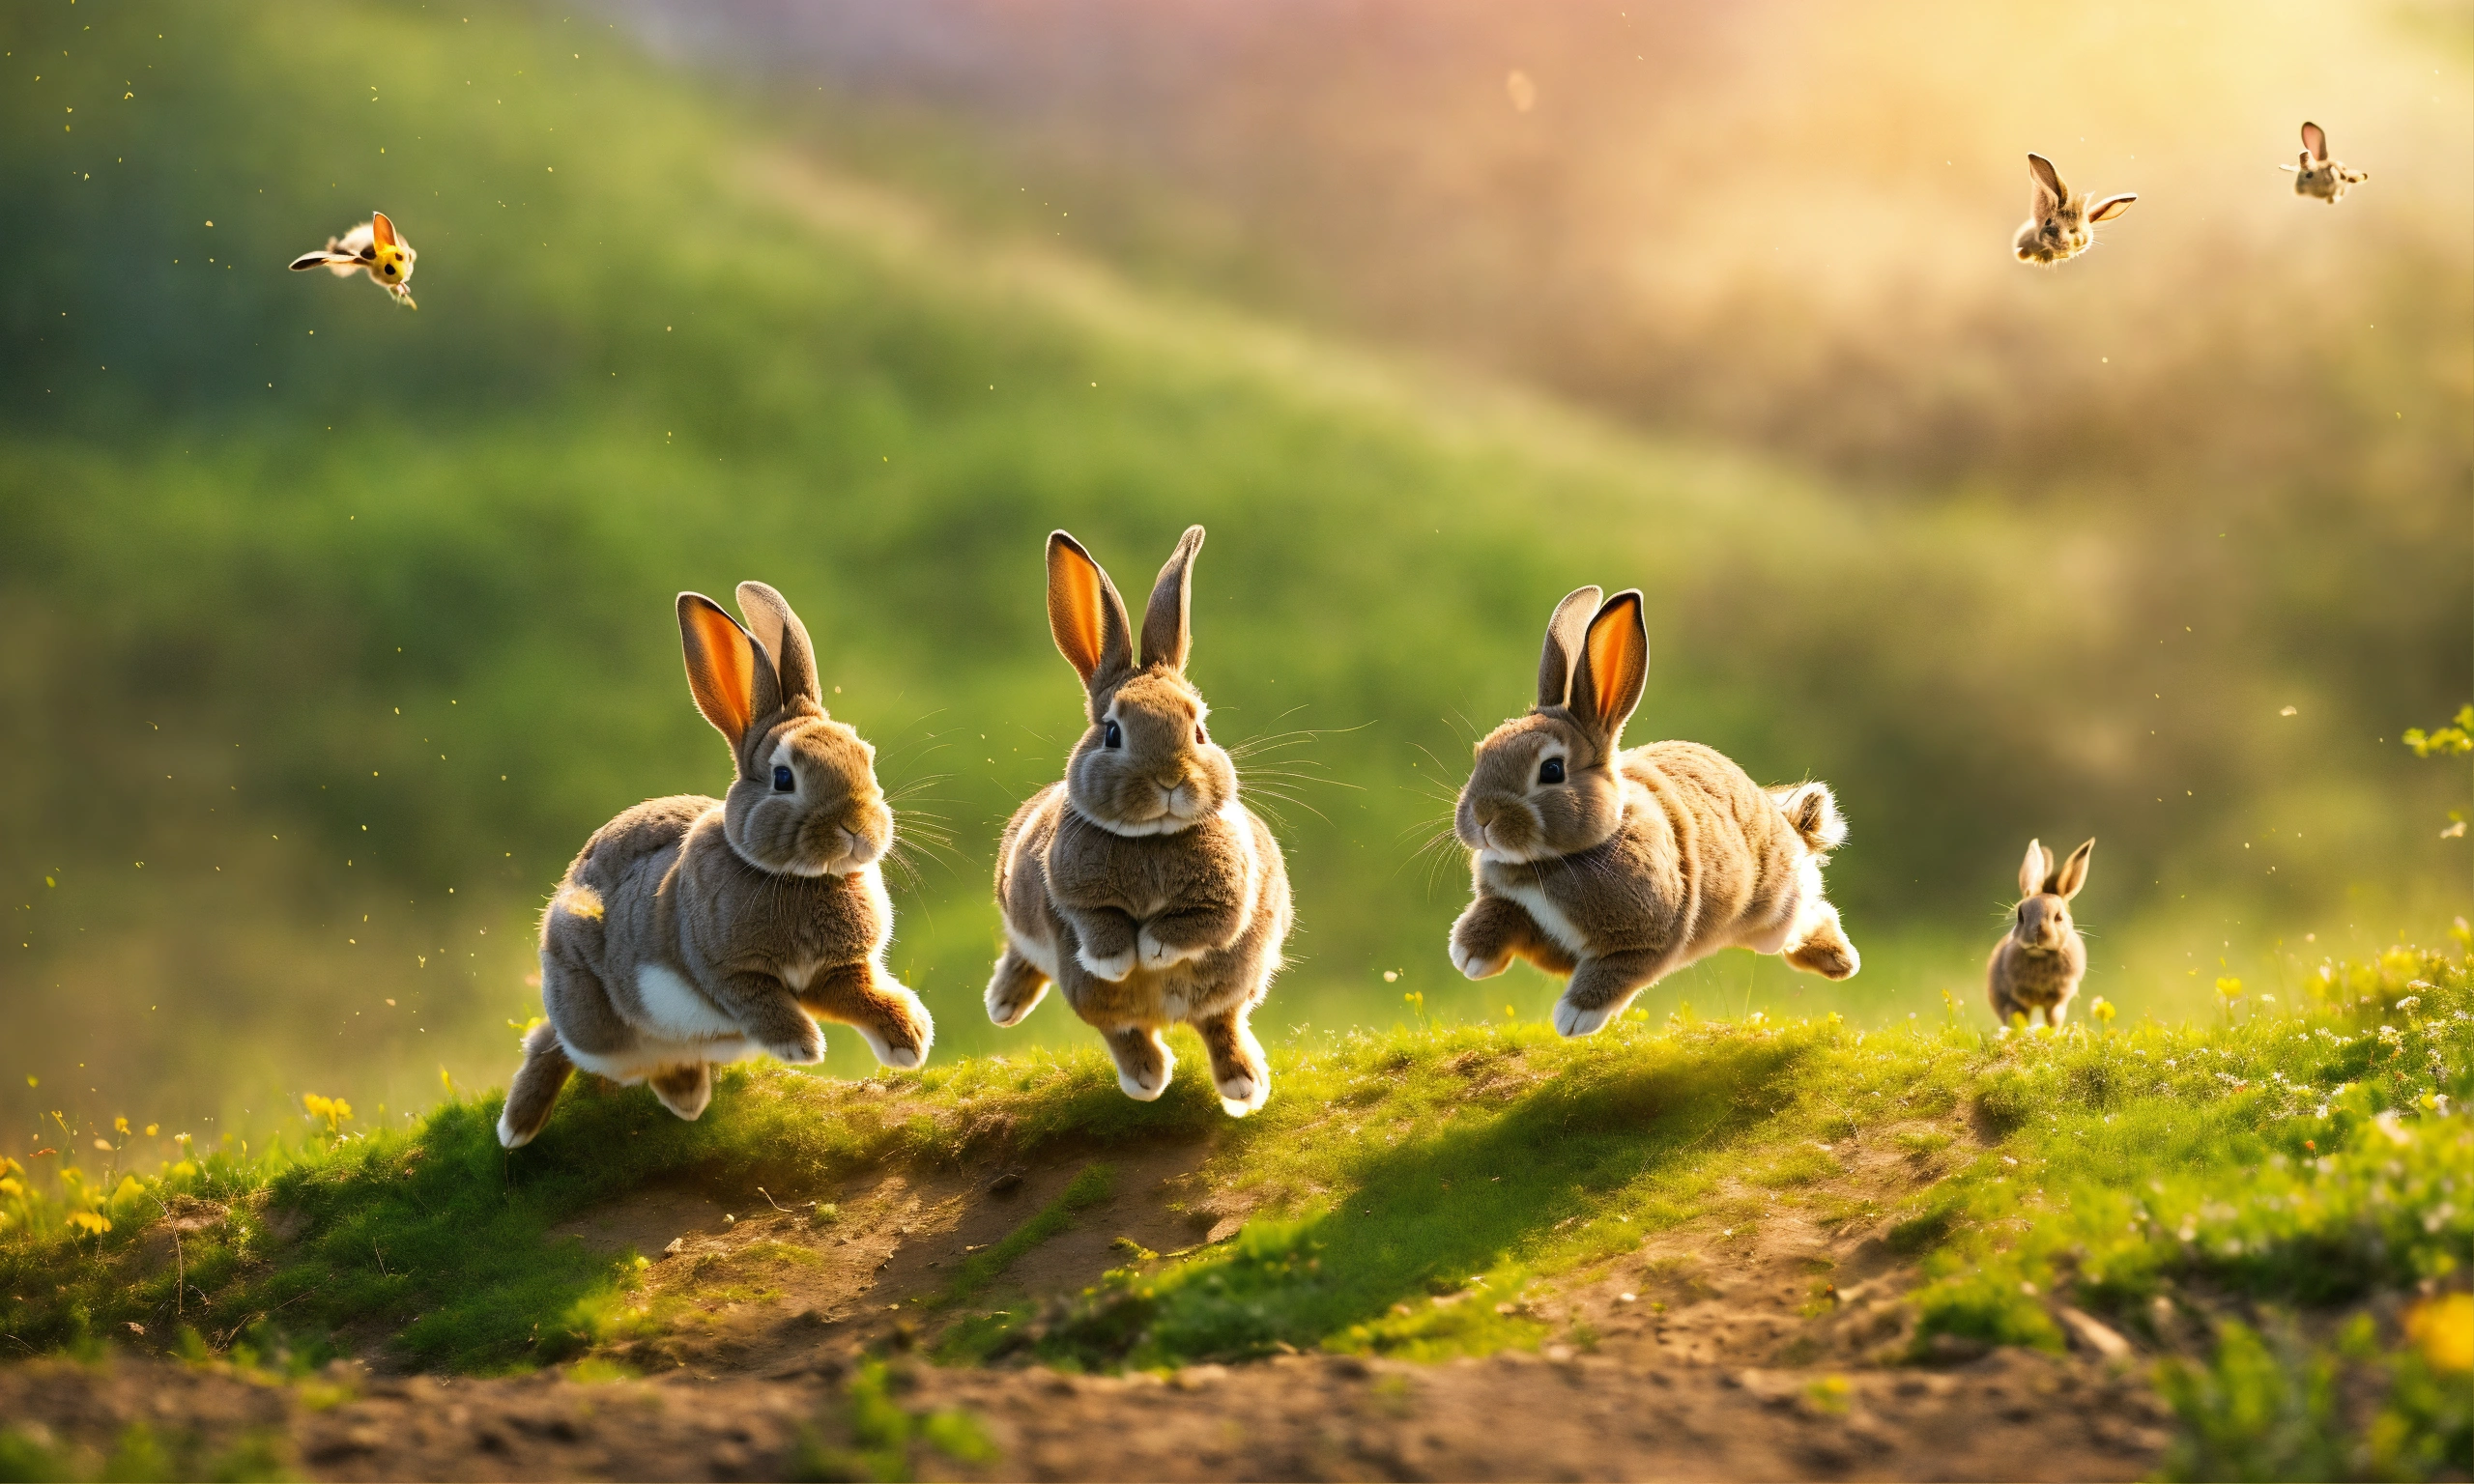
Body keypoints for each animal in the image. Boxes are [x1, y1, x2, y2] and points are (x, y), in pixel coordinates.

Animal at [496, 581, 933, 1148]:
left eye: (866, 755)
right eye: (784, 778)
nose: (857, 828)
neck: (797, 879)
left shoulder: (834, 973)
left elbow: (864, 996)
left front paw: (909, 1039)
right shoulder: (725, 971)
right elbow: (761, 1004)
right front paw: (802, 1047)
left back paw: (686, 1097)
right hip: (592, 1022)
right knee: (553, 1041)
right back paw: (518, 1127)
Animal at [985, 526, 1292, 1117]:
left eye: (1199, 731)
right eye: (1112, 733)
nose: (1170, 780)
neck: (1153, 838)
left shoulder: (1230, 899)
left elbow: (1201, 923)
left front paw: (1153, 949)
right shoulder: (1072, 894)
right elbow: (1097, 921)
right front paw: (1118, 957)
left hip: (1231, 983)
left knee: (1219, 1024)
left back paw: (1242, 1085)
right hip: (1078, 983)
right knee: (1118, 1027)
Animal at [1448, 585, 1859, 1038]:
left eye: (1551, 770)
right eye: (1481, 752)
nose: (1481, 819)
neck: (1555, 860)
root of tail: (1785, 824)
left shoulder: (1647, 941)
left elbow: (1614, 972)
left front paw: (1573, 1019)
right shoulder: (1512, 904)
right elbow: (1496, 912)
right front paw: (1467, 955)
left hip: (1773, 914)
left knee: (1810, 914)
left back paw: (1841, 962)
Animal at [1987, 837, 2093, 1028]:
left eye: (2058, 917)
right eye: (2021, 916)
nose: (2037, 934)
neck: (2040, 955)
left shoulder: (2057, 1000)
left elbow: (2053, 1018)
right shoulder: (2016, 999)